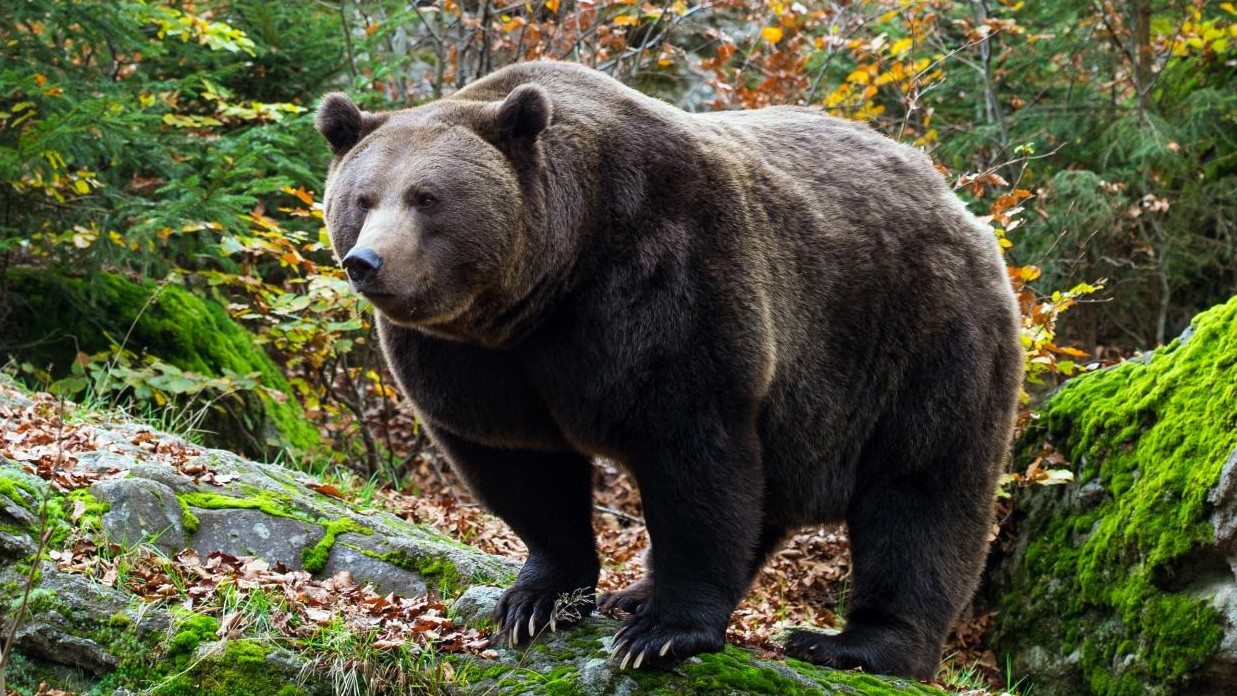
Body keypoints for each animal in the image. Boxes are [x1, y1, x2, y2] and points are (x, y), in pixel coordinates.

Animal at [314, 61, 1023, 679]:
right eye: (361, 197)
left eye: (427, 197)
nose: (367, 261)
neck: (543, 288)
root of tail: (956, 201)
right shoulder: (471, 360)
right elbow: (520, 468)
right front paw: (538, 601)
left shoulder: (665, 284)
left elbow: (693, 461)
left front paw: (661, 634)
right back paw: (634, 591)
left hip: (919, 340)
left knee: (922, 492)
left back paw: (858, 645)